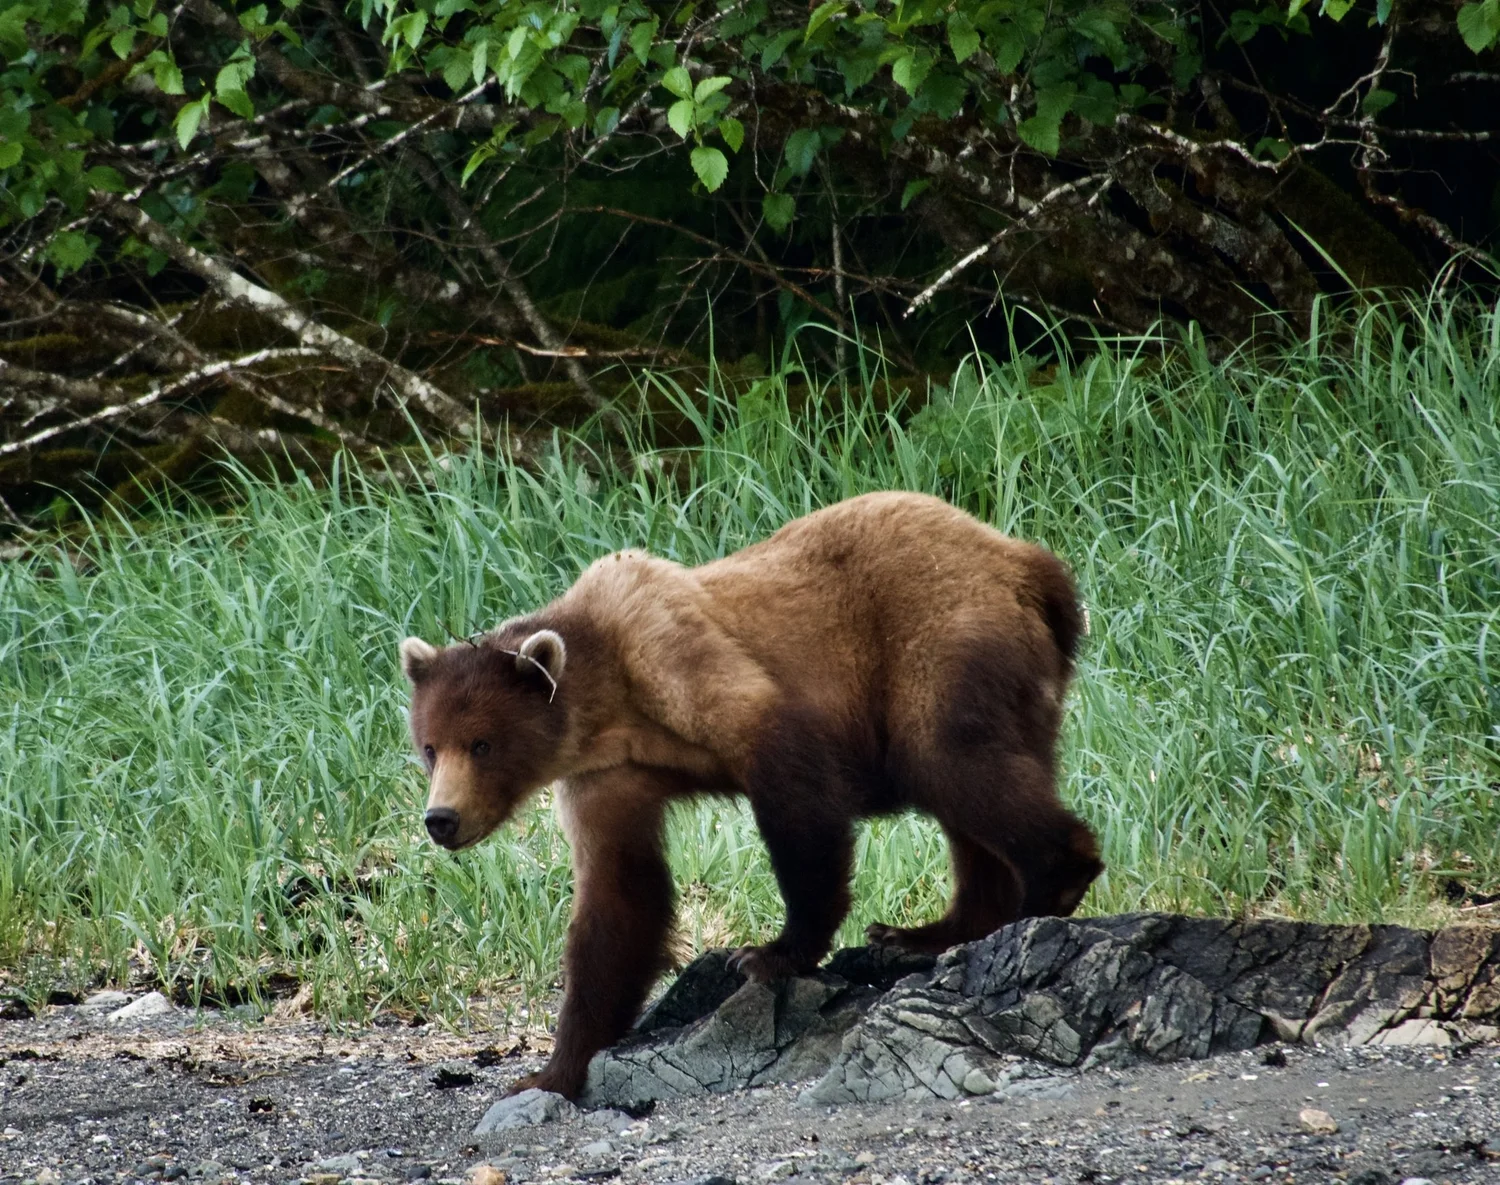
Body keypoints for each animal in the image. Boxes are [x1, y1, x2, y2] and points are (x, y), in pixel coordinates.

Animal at [399, 490, 1102, 1099]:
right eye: (430, 745)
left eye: (482, 744)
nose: (441, 818)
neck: (608, 712)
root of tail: (1027, 561)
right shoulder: (605, 781)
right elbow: (618, 897)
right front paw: (550, 1072)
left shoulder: (687, 662)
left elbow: (795, 796)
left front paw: (770, 952)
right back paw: (930, 933)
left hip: (939, 639)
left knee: (955, 763)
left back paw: (1048, 885)